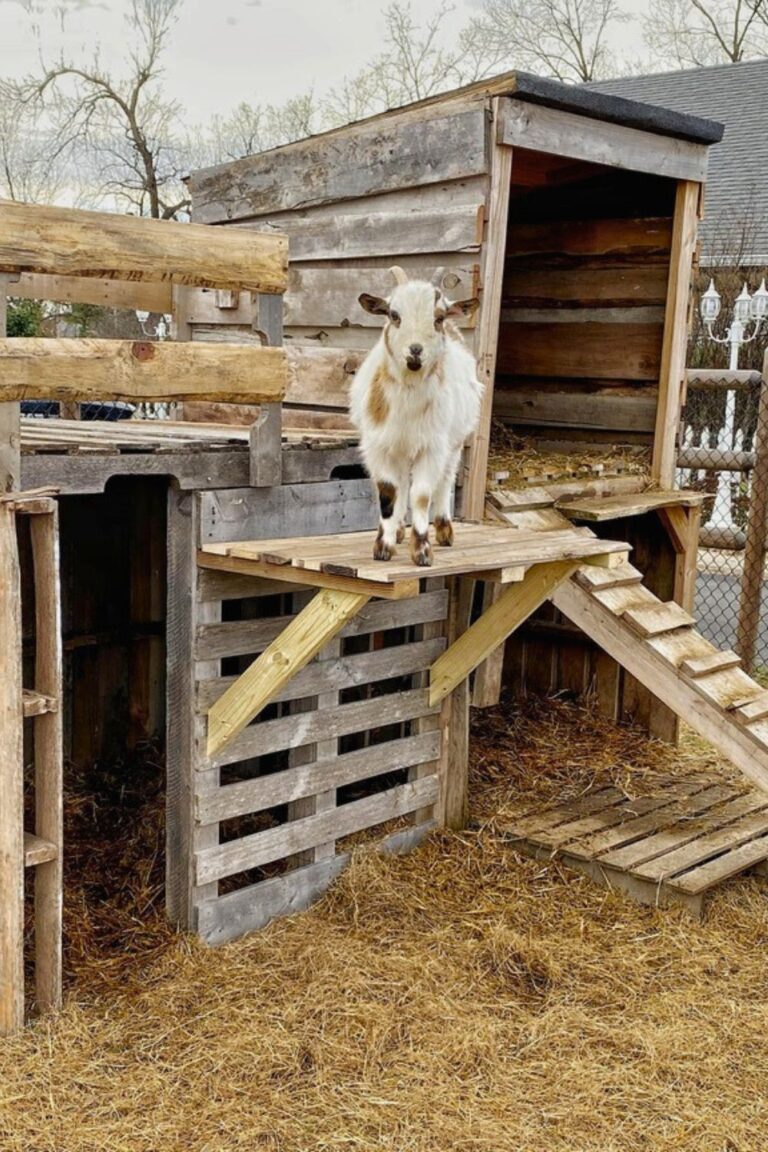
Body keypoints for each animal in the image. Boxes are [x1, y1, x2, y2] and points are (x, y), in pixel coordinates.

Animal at [349, 266, 483, 567]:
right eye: (394, 315)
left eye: (438, 318)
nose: (415, 351)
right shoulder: (379, 445)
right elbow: (389, 491)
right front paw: (384, 546)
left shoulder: (432, 446)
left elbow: (421, 495)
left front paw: (422, 550)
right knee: (401, 482)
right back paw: (399, 530)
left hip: (455, 442)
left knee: (445, 480)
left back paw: (444, 530)